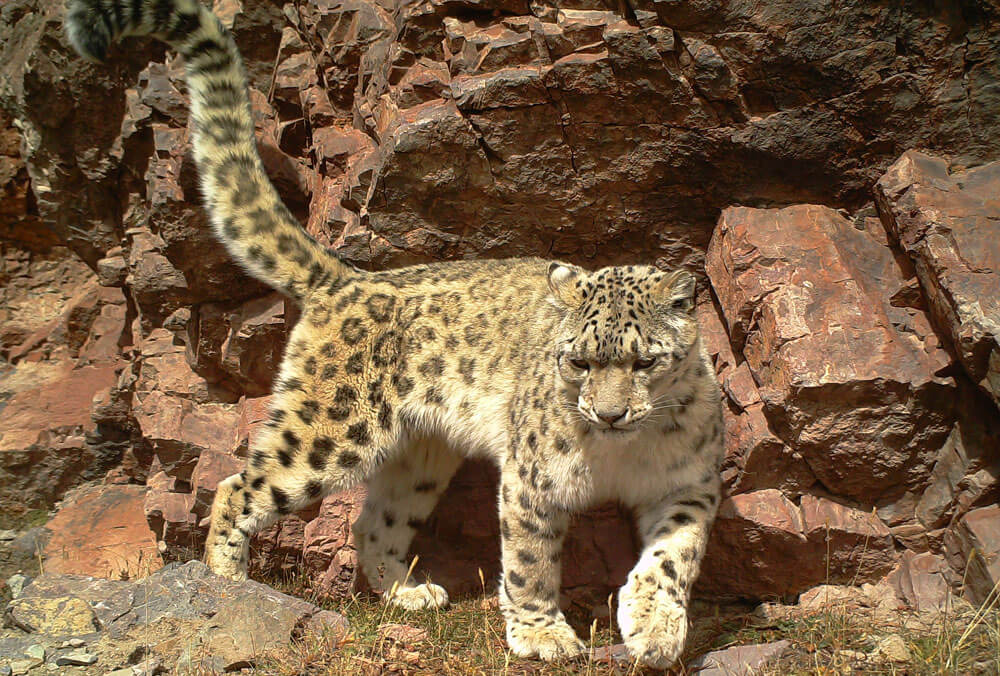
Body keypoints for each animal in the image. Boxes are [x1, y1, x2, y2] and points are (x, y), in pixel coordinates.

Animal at [65, 0, 724, 667]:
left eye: (644, 363)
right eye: (580, 362)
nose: (609, 415)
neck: (623, 455)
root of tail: (348, 279)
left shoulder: (689, 483)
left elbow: (674, 557)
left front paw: (655, 628)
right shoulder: (532, 481)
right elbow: (530, 563)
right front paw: (543, 634)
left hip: (418, 456)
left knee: (373, 519)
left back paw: (408, 592)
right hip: (330, 432)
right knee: (238, 485)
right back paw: (228, 584)